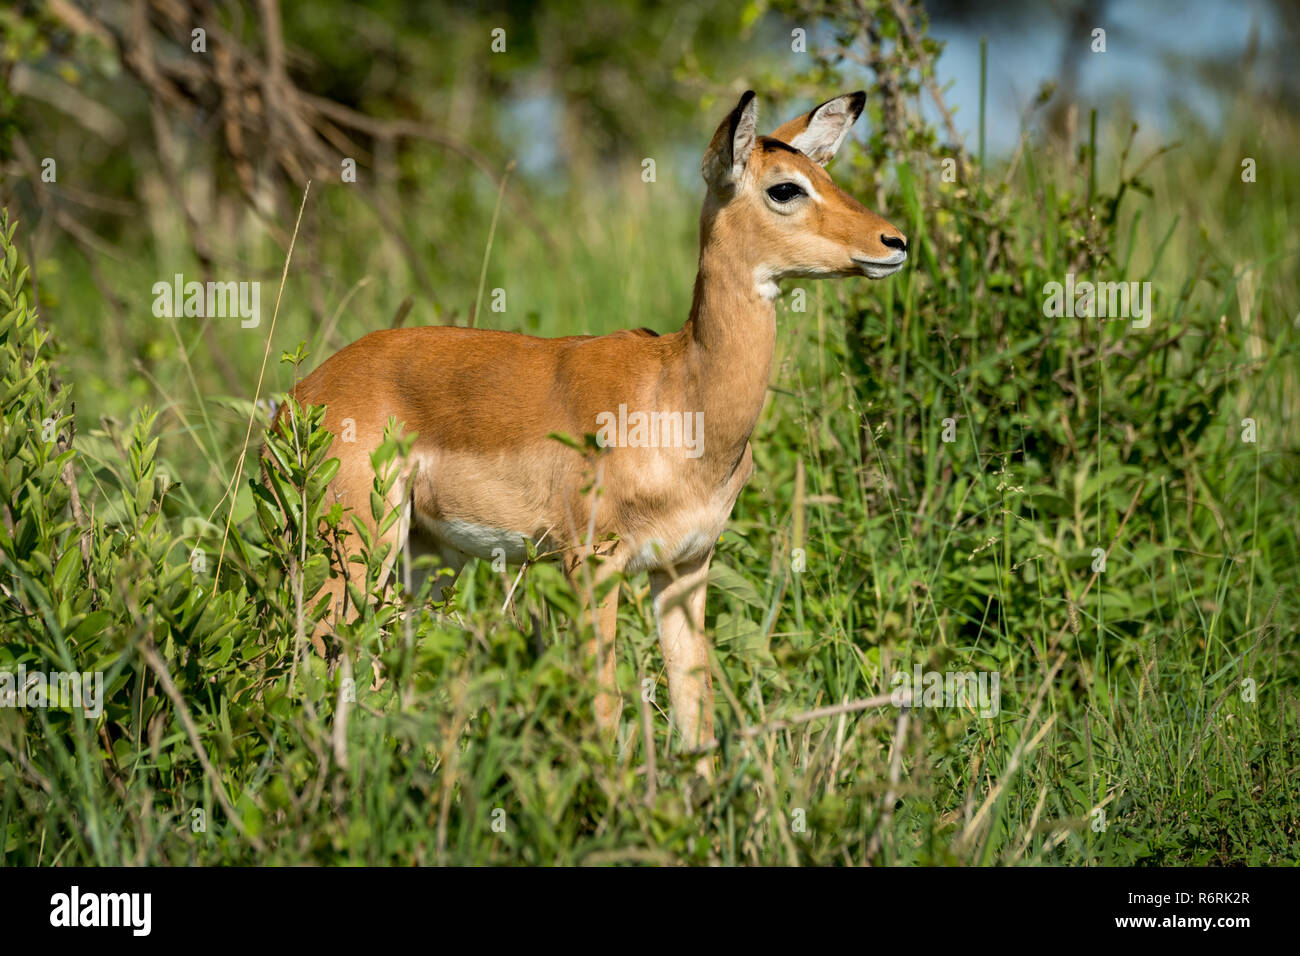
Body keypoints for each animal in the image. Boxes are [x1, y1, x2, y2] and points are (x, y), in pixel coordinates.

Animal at [276, 90, 907, 774]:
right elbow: (605, 708)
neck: (679, 397)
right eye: (786, 187)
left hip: (424, 559)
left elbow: (696, 711)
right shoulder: (591, 563)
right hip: (353, 552)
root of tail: (298, 397)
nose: (894, 241)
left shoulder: (687, 566)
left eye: (826, 174)